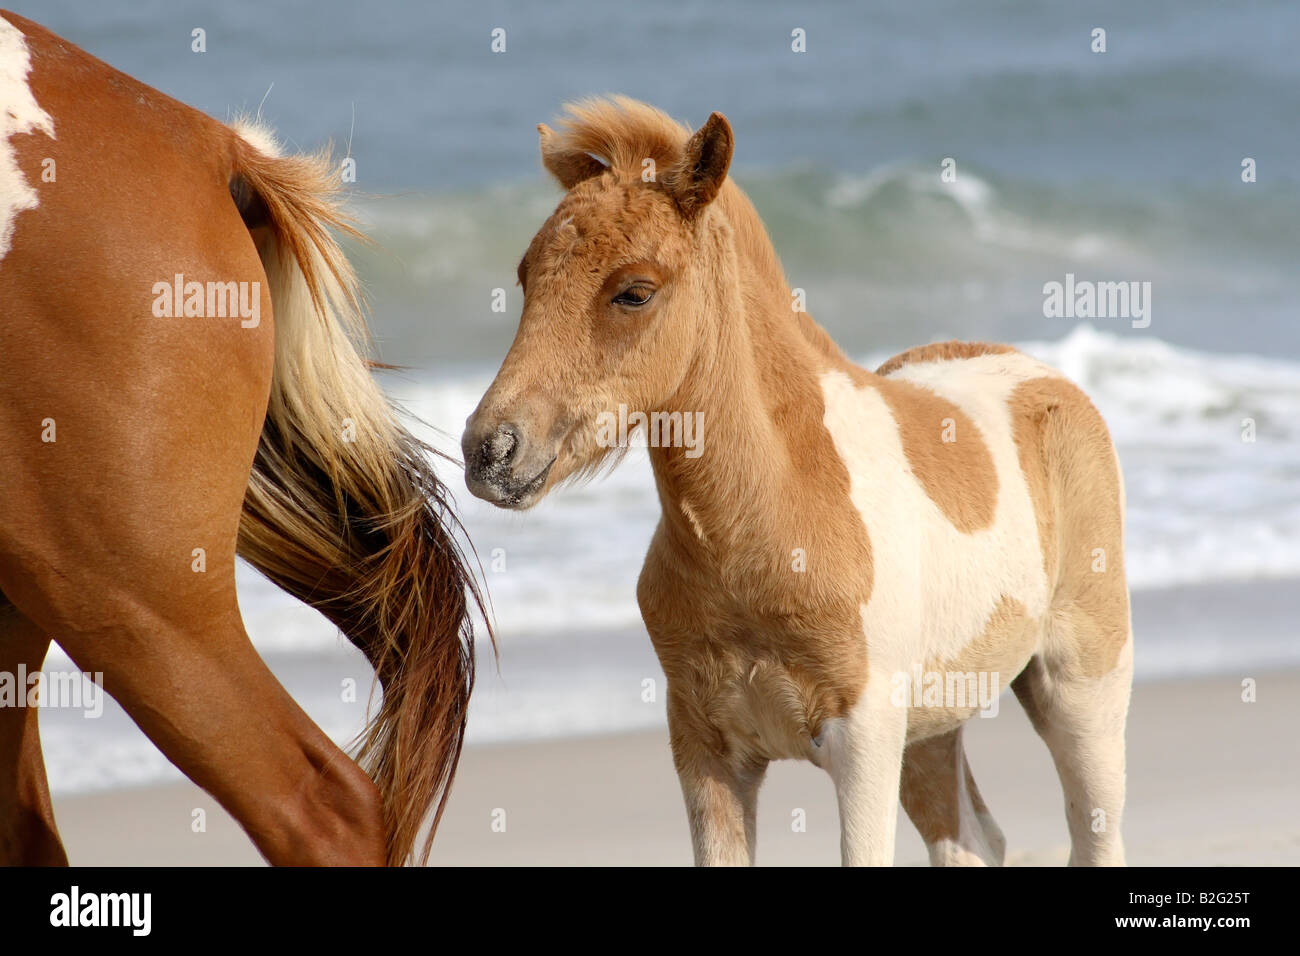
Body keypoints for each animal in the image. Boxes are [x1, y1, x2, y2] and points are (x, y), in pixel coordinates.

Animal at [462, 96, 1133, 866]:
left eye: (634, 292)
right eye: (526, 278)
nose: (490, 450)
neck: (769, 521)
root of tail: (1046, 376)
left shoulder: (863, 742)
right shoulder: (707, 749)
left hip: (1081, 688)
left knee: (1093, 831)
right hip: (934, 725)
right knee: (972, 839)